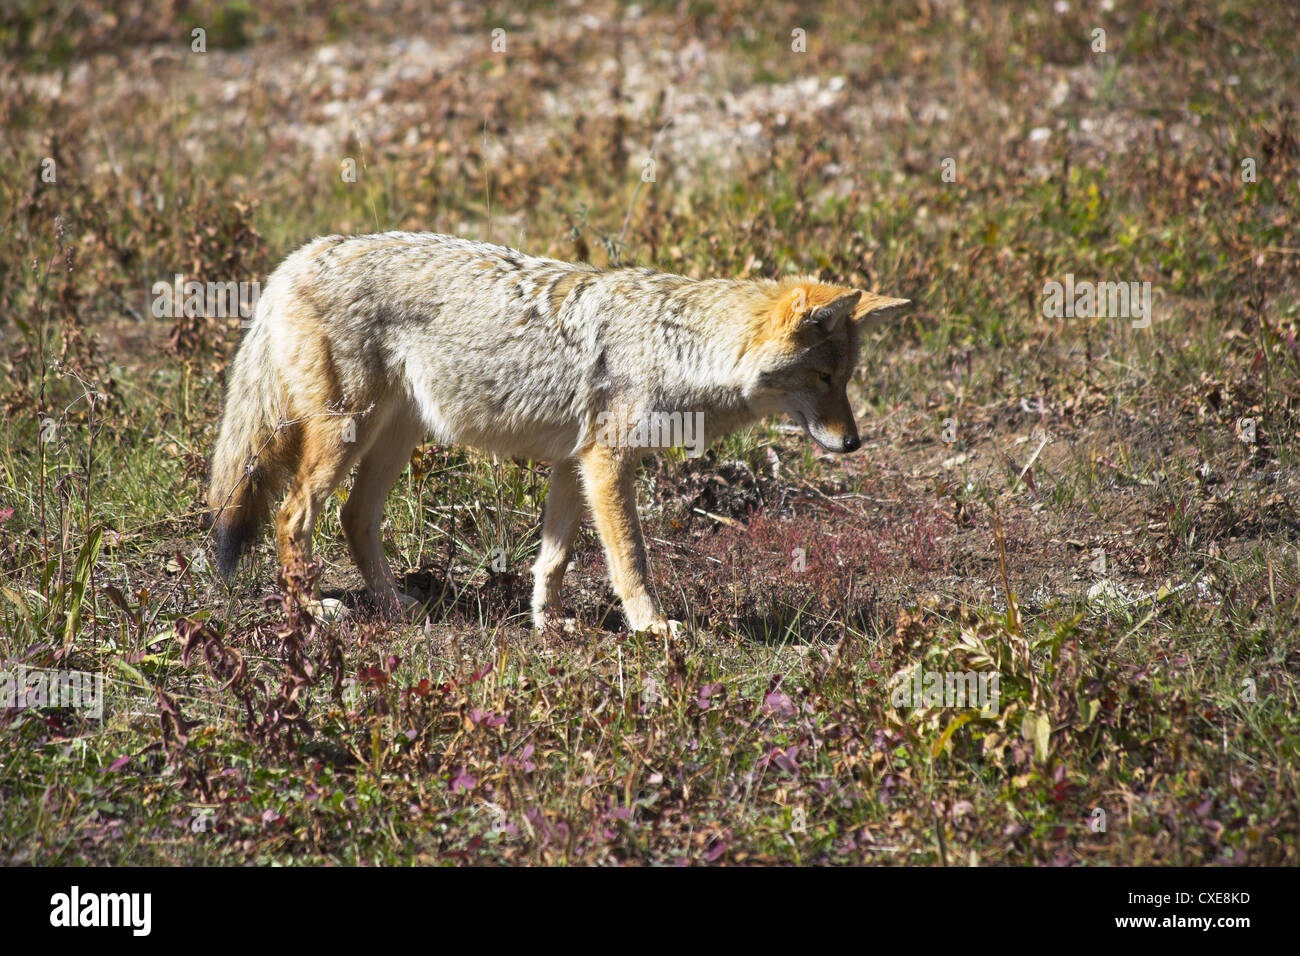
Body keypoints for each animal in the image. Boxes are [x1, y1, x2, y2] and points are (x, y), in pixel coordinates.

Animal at [207, 232, 909, 633]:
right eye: (824, 378)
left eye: (846, 380)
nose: (853, 444)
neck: (680, 349)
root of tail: (294, 260)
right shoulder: (608, 463)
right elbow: (632, 560)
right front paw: (651, 627)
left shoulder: (576, 463)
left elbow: (554, 559)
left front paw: (549, 626)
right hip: (345, 438)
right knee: (293, 516)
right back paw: (314, 611)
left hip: (394, 440)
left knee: (354, 518)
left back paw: (394, 607)